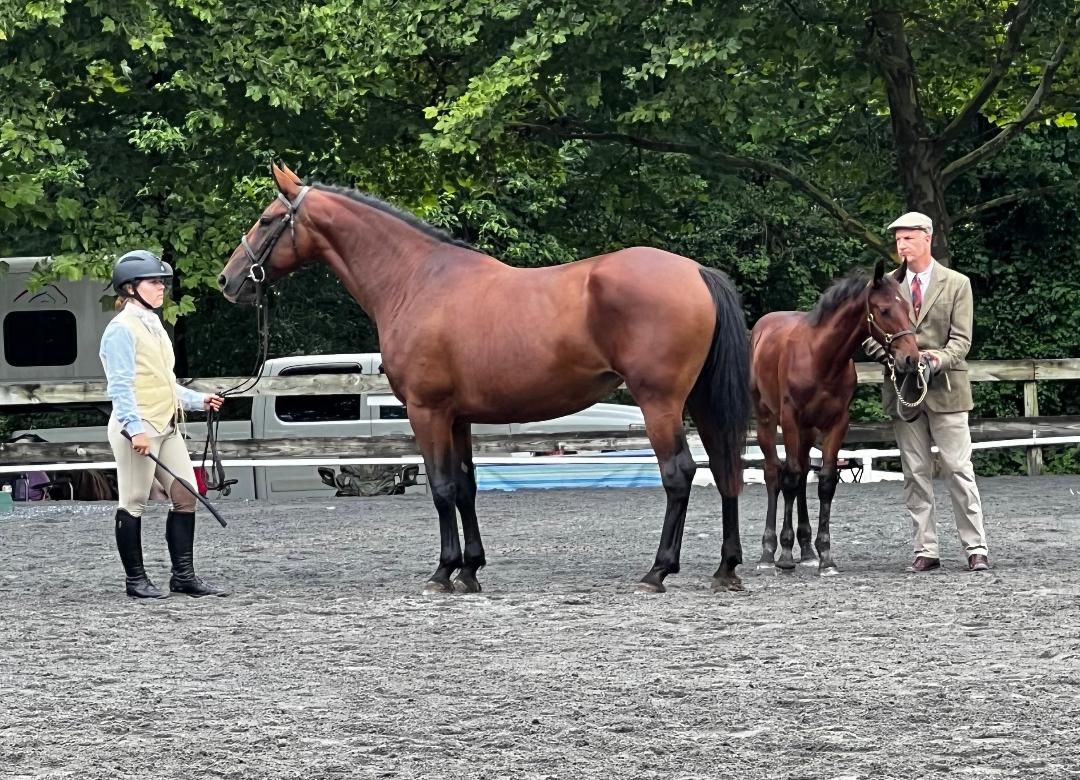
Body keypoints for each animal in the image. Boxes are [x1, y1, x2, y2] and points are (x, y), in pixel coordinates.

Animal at [218, 163, 752, 594]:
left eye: (266, 219)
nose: (228, 281)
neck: (417, 280)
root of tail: (695, 271)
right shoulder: (459, 418)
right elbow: (465, 487)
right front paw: (470, 570)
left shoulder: (427, 412)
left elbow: (440, 488)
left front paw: (442, 573)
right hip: (699, 400)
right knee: (725, 467)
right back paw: (726, 569)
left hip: (659, 401)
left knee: (679, 473)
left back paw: (658, 571)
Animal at [749, 260, 920, 575]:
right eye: (885, 310)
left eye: (907, 307)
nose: (911, 359)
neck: (821, 357)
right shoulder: (790, 419)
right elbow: (789, 477)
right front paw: (785, 554)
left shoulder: (837, 423)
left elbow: (826, 482)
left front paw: (825, 556)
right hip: (767, 420)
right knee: (774, 474)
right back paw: (768, 553)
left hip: (807, 432)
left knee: (803, 474)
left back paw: (806, 550)